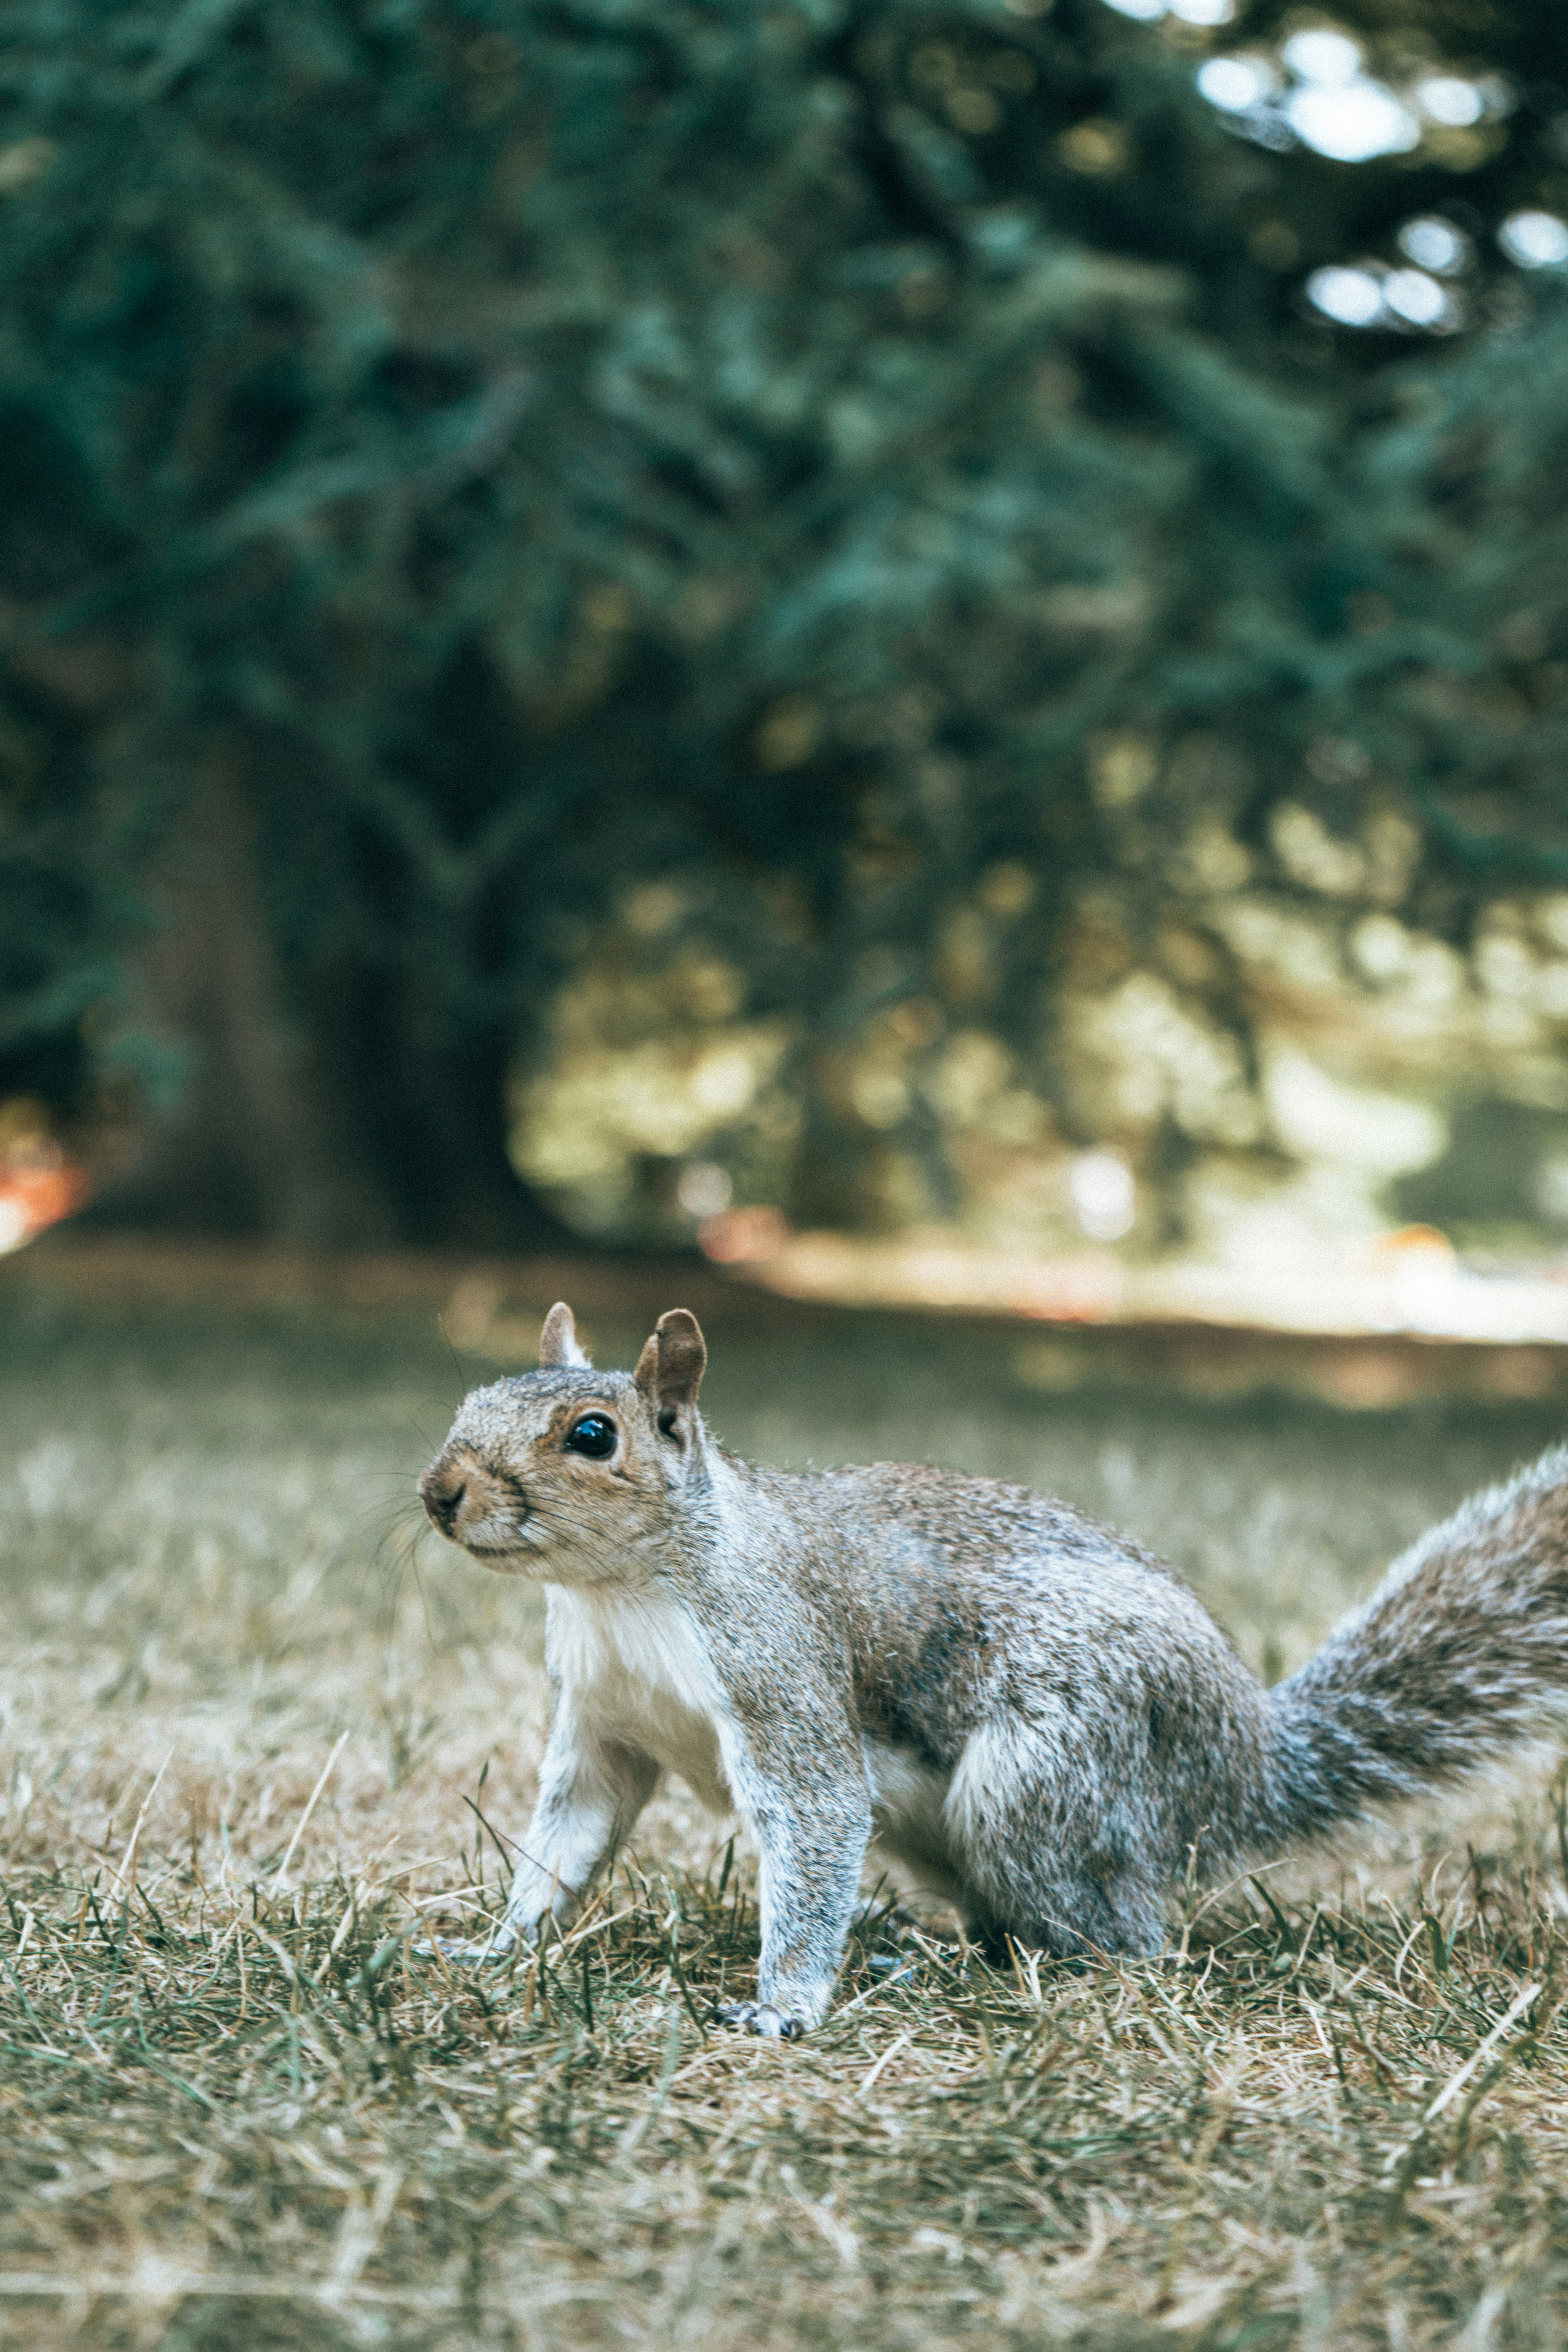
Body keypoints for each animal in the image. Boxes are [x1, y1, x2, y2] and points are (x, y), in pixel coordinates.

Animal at [416, 1300, 1568, 2037]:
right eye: (469, 1400)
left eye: (593, 1434)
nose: (440, 1490)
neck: (620, 1593)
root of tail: (1241, 1768)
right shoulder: (603, 1726)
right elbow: (563, 1842)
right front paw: (496, 1949)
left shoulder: (782, 1673)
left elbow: (816, 1820)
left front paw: (783, 2004)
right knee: (1012, 1923)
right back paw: (919, 1955)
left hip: (1046, 1777)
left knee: (1118, 1939)